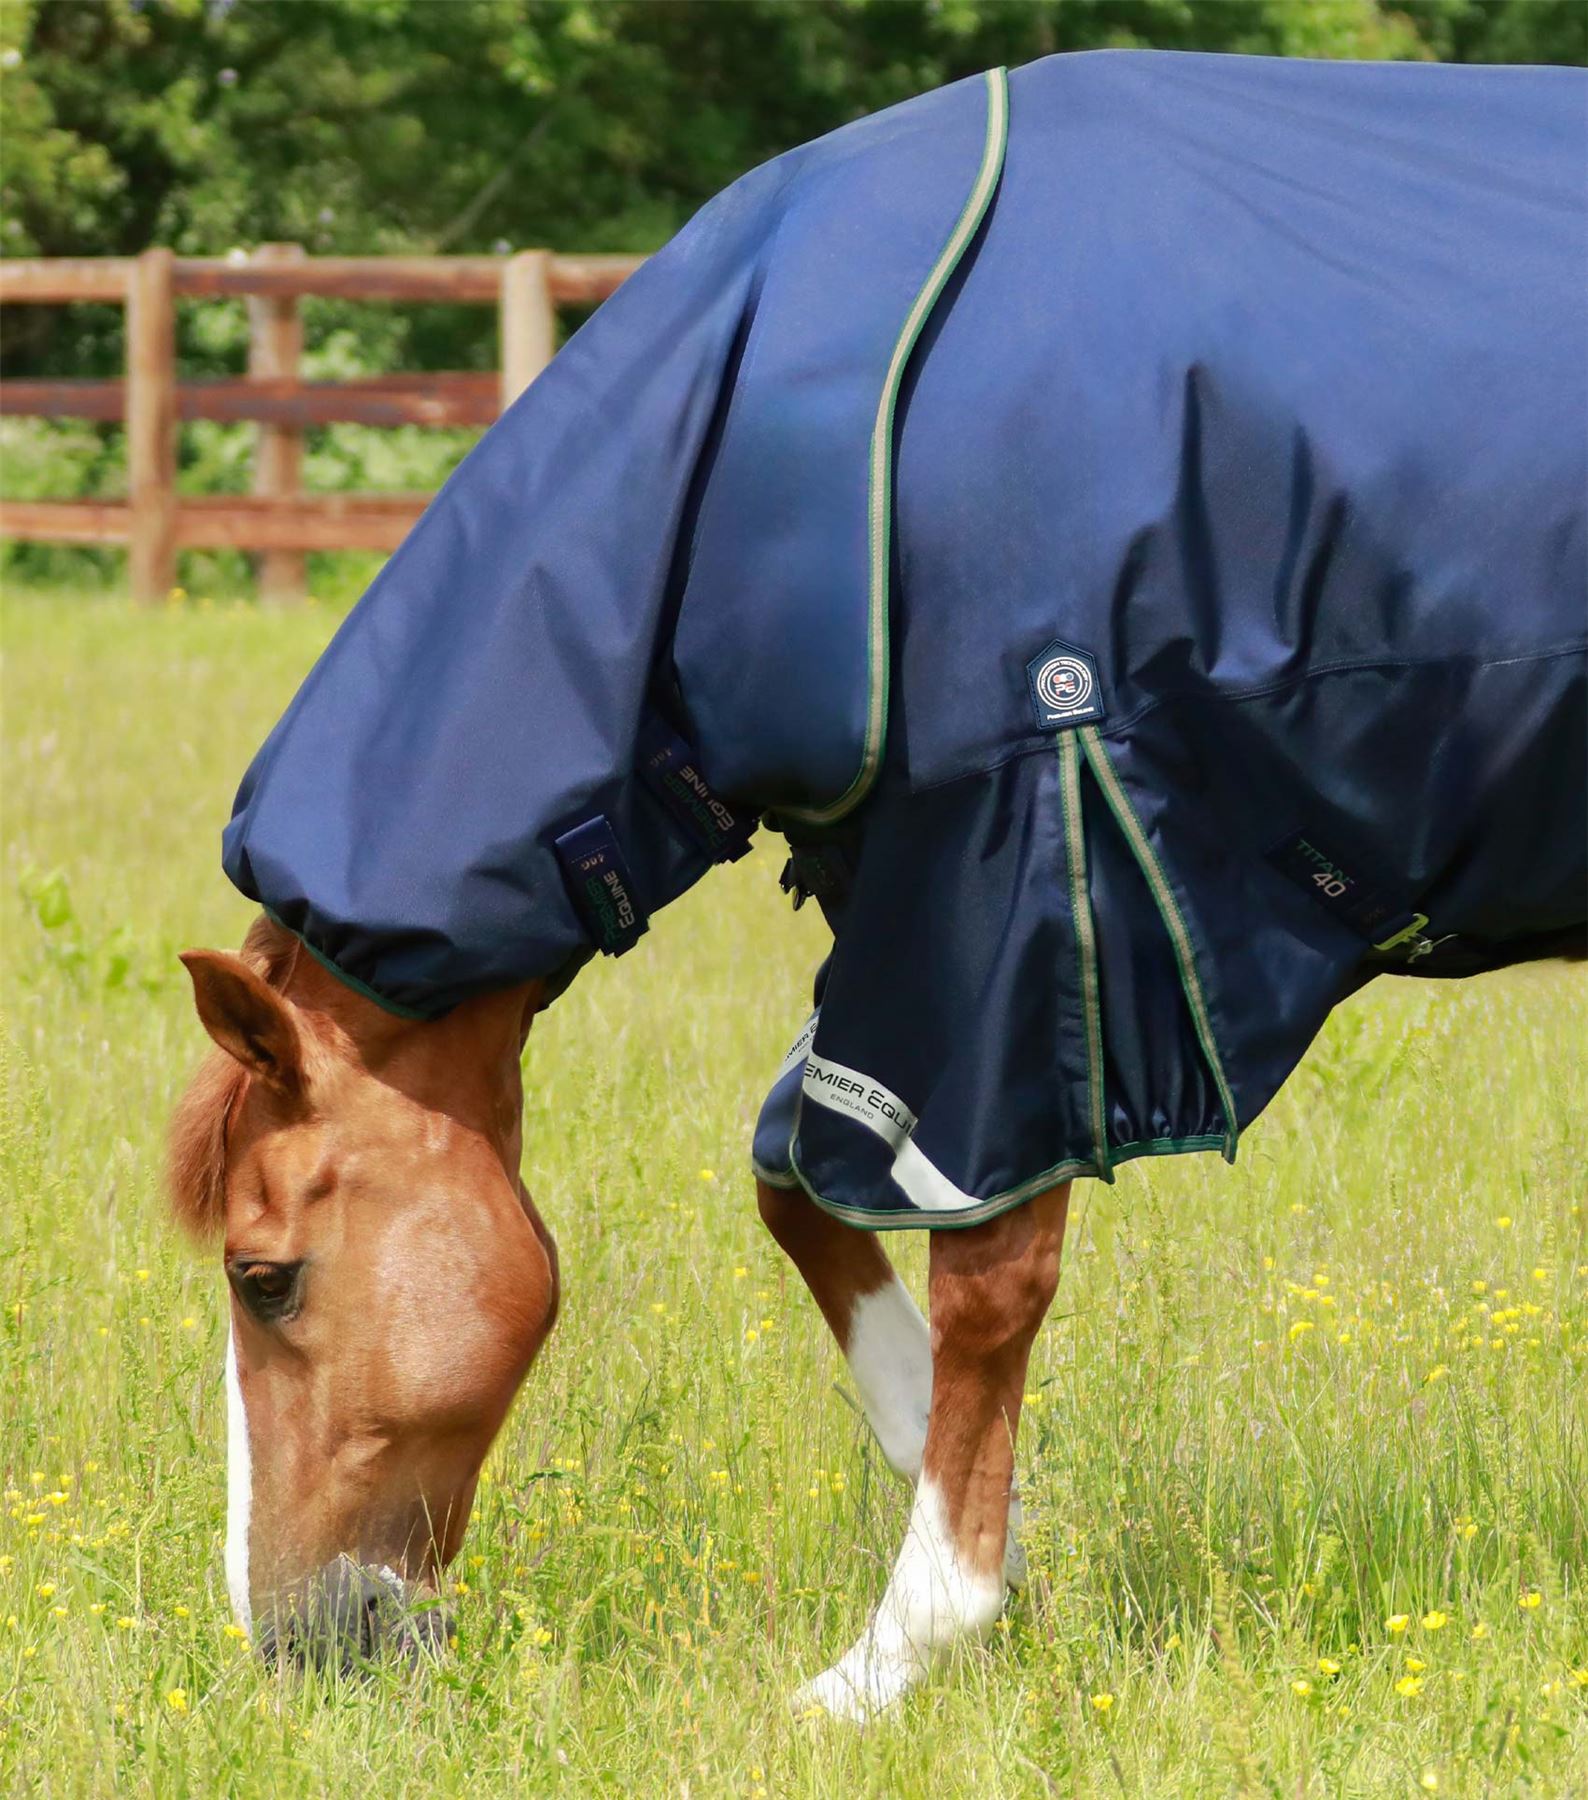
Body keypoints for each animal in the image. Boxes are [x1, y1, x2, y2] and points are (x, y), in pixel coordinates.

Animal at [168, 51, 1585, 1720]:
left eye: (264, 1276)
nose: (292, 1639)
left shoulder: (1018, 918)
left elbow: (989, 1276)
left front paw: (898, 1650)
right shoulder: (908, 950)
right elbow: (800, 1188)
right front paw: (1006, 1537)